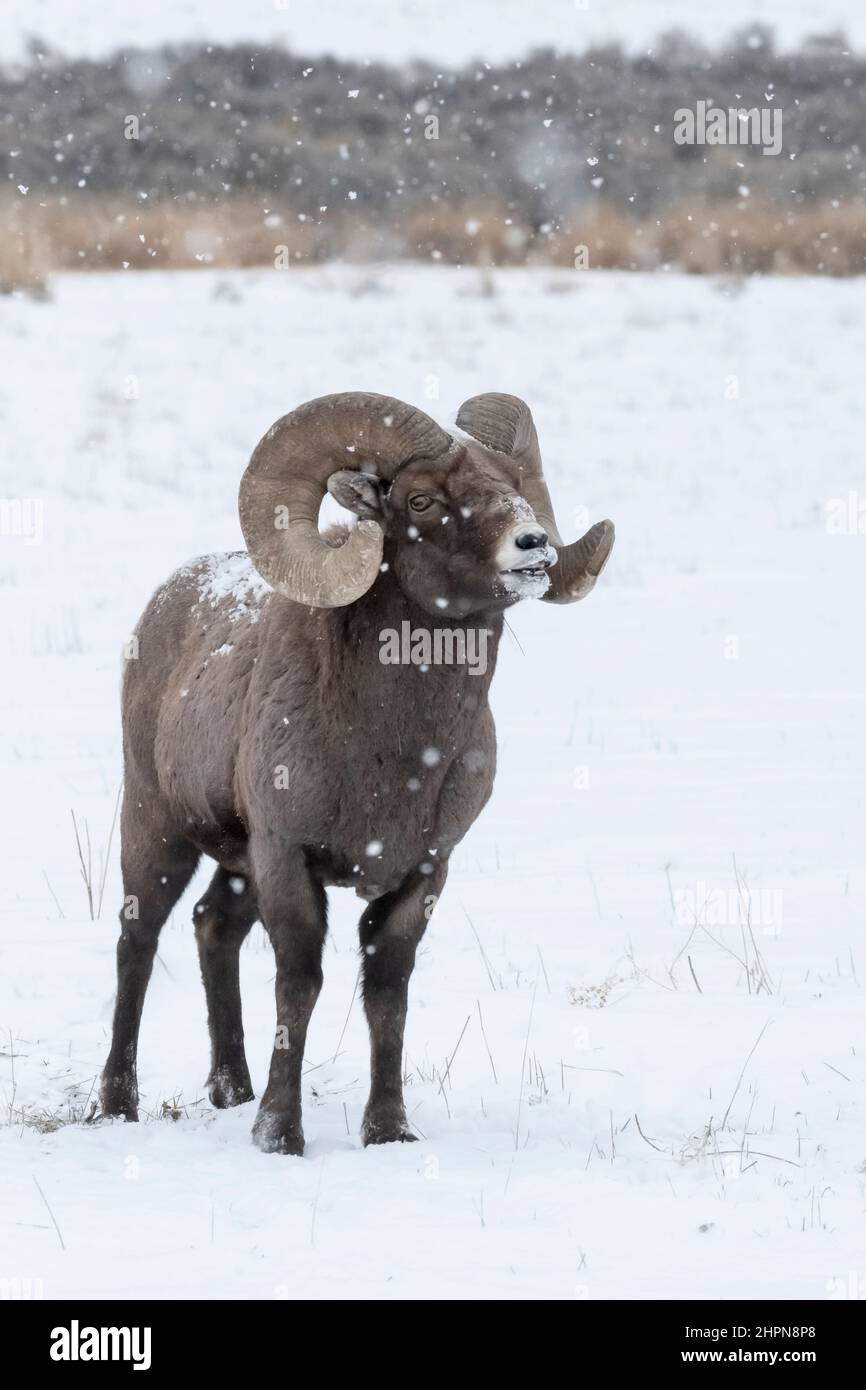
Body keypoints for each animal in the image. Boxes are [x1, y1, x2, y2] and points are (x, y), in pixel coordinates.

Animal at [101, 392, 615, 1154]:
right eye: (422, 499)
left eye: (514, 485)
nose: (533, 548)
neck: (391, 758)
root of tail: (168, 599)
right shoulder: (290, 860)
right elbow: (299, 985)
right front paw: (279, 1136)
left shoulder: (422, 875)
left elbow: (387, 994)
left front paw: (388, 1131)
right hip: (156, 827)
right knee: (138, 940)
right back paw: (116, 1105)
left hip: (237, 864)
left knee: (212, 928)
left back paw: (231, 1091)